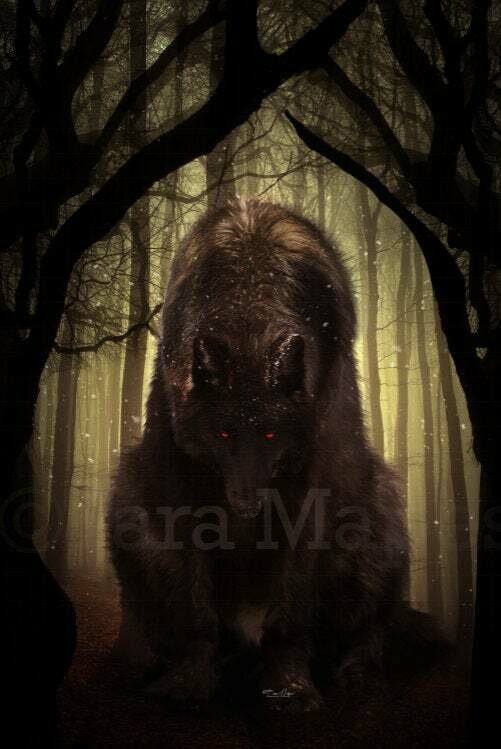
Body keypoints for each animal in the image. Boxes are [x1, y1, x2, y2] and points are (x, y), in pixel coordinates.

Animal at [107, 197, 414, 711]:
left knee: (371, 628)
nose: (248, 503)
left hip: (380, 508)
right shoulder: (181, 486)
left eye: (270, 435)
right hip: (128, 493)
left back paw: (358, 673)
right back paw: (142, 661)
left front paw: (290, 685)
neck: (249, 312)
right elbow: (193, 601)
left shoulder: (311, 489)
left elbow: (292, 604)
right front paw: (190, 680)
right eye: (225, 434)